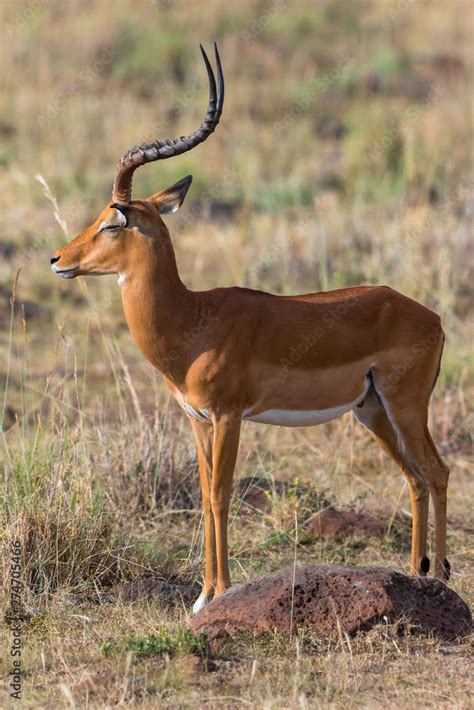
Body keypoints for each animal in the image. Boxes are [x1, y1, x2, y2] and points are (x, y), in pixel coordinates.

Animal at [51, 44, 450, 613]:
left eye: (112, 221)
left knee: (437, 472)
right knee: (415, 477)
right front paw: (202, 595)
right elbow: (203, 495)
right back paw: (415, 571)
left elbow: (221, 496)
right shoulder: (196, 419)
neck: (193, 322)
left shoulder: (229, 415)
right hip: (371, 410)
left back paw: (442, 577)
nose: (58, 259)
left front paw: (217, 595)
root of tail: (429, 315)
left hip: (406, 404)